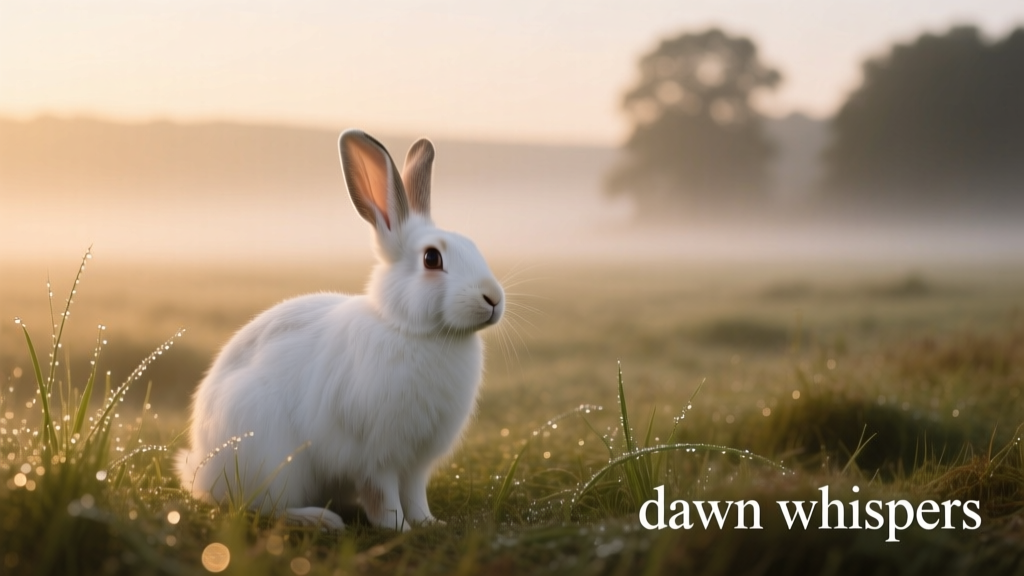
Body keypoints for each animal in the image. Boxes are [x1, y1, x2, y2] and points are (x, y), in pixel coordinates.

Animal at [175, 130, 504, 531]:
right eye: (432, 258)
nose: (493, 299)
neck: (407, 329)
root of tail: (201, 473)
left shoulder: (416, 462)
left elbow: (415, 495)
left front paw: (429, 524)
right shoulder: (376, 455)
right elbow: (384, 496)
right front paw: (398, 529)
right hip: (271, 458)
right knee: (261, 507)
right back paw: (319, 519)